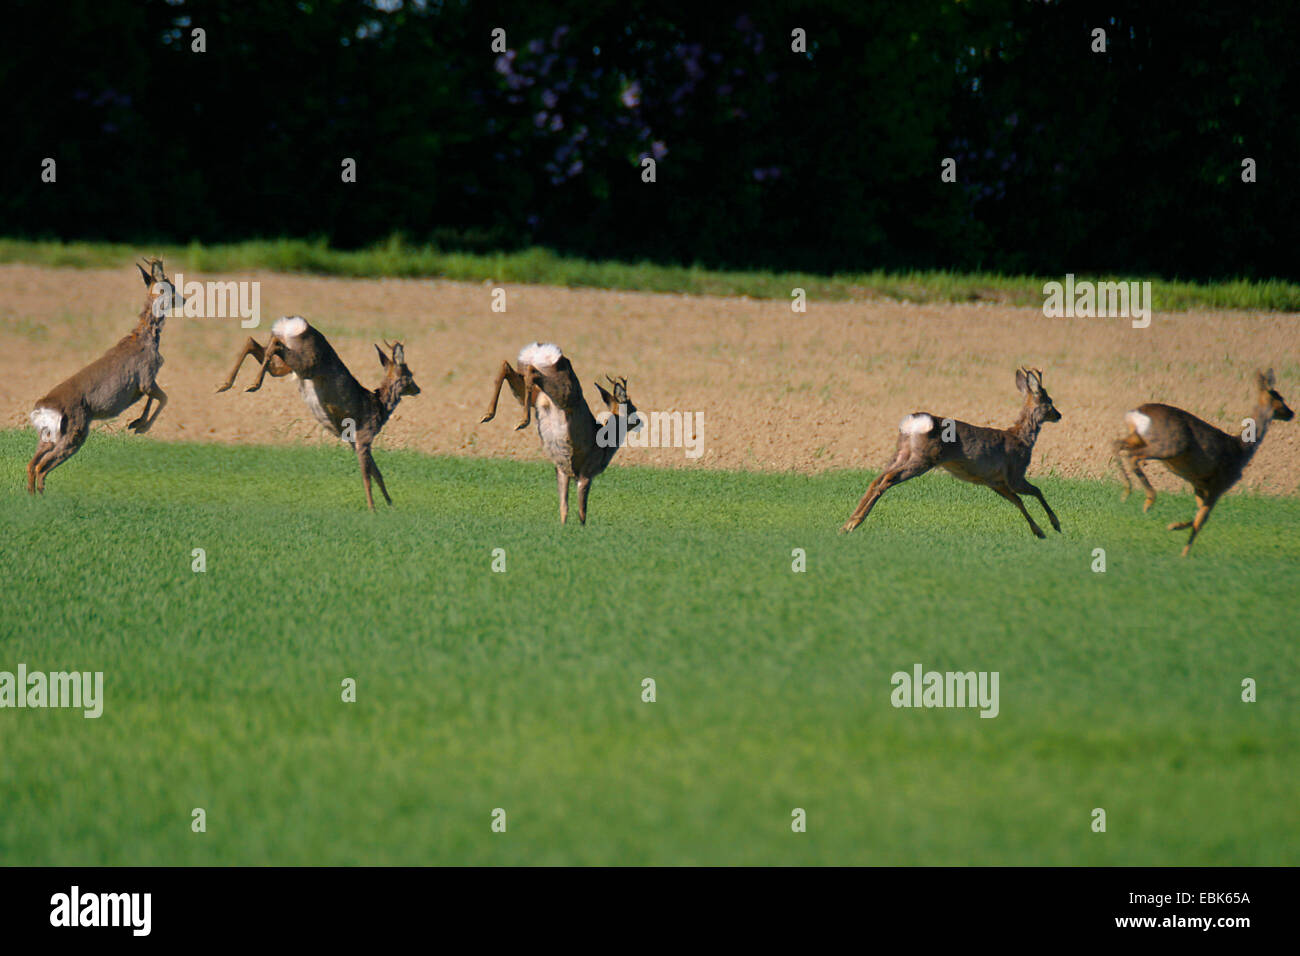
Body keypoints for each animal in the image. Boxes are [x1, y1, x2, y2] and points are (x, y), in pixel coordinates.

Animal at [27, 258, 180, 494]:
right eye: (169, 285)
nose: (183, 298)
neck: (146, 338)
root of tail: (41, 409)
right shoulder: (146, 377)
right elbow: (163, 398)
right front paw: (141, 426)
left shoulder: (146, 382)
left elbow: (153, 399)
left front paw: (135, 424)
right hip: (74, 431)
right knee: (41, 467)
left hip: (48, 437)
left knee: (31, 464)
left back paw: (32, 497)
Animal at [216, 316, 421, 511]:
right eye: (409, 376)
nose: (418, 389)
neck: (379, 405)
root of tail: (295, 324)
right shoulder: (363, 436)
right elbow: (367, 477)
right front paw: (373, 509)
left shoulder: (354, 441)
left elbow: (377, 473)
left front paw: (390, 504)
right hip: (307, 363)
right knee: (274, 345)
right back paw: (252, 384)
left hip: (284, 367)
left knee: (255, 341)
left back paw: (227, 384)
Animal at [479, 342, 641, 524]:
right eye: (633, 409)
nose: (639, 421)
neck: (604, 445)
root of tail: (543, 349)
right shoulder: (586, 473)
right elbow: (582, 513)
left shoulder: (563, 469)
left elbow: (564, 508)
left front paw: (563, 527)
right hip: (565, 392)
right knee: (532, 372)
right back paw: (522, 421)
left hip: (539, 394)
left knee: (507, 366)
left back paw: (488, 415)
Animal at [842, 367, 1063, 538]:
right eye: (1050, 401)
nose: (1059, 415)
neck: (1022, 438)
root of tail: (914, 421)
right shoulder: (1014, 474)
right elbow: (1036, 491)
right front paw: (1055, 525)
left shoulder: (995, 482)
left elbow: (1018, 501)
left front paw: (1039, 531)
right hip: (923, 458)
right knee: (887, 479)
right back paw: (855, 522)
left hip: (901, 453)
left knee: (876, 479)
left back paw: (848, 523)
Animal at [1113, 369, 1293, 555]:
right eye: (1280, 398)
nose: (1291, 413)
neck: (1241, 448)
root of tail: (1136, 413)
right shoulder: (1220, 483)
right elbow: (1202, 519)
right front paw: (1183, 552)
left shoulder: (1198, 484)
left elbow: (1199, 515)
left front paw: (1175, 528)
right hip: (1168, 445)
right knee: (1132, 456)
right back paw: (1148, 501)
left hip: (1139, 438)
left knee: (1116, 444)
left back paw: (1127, 492)